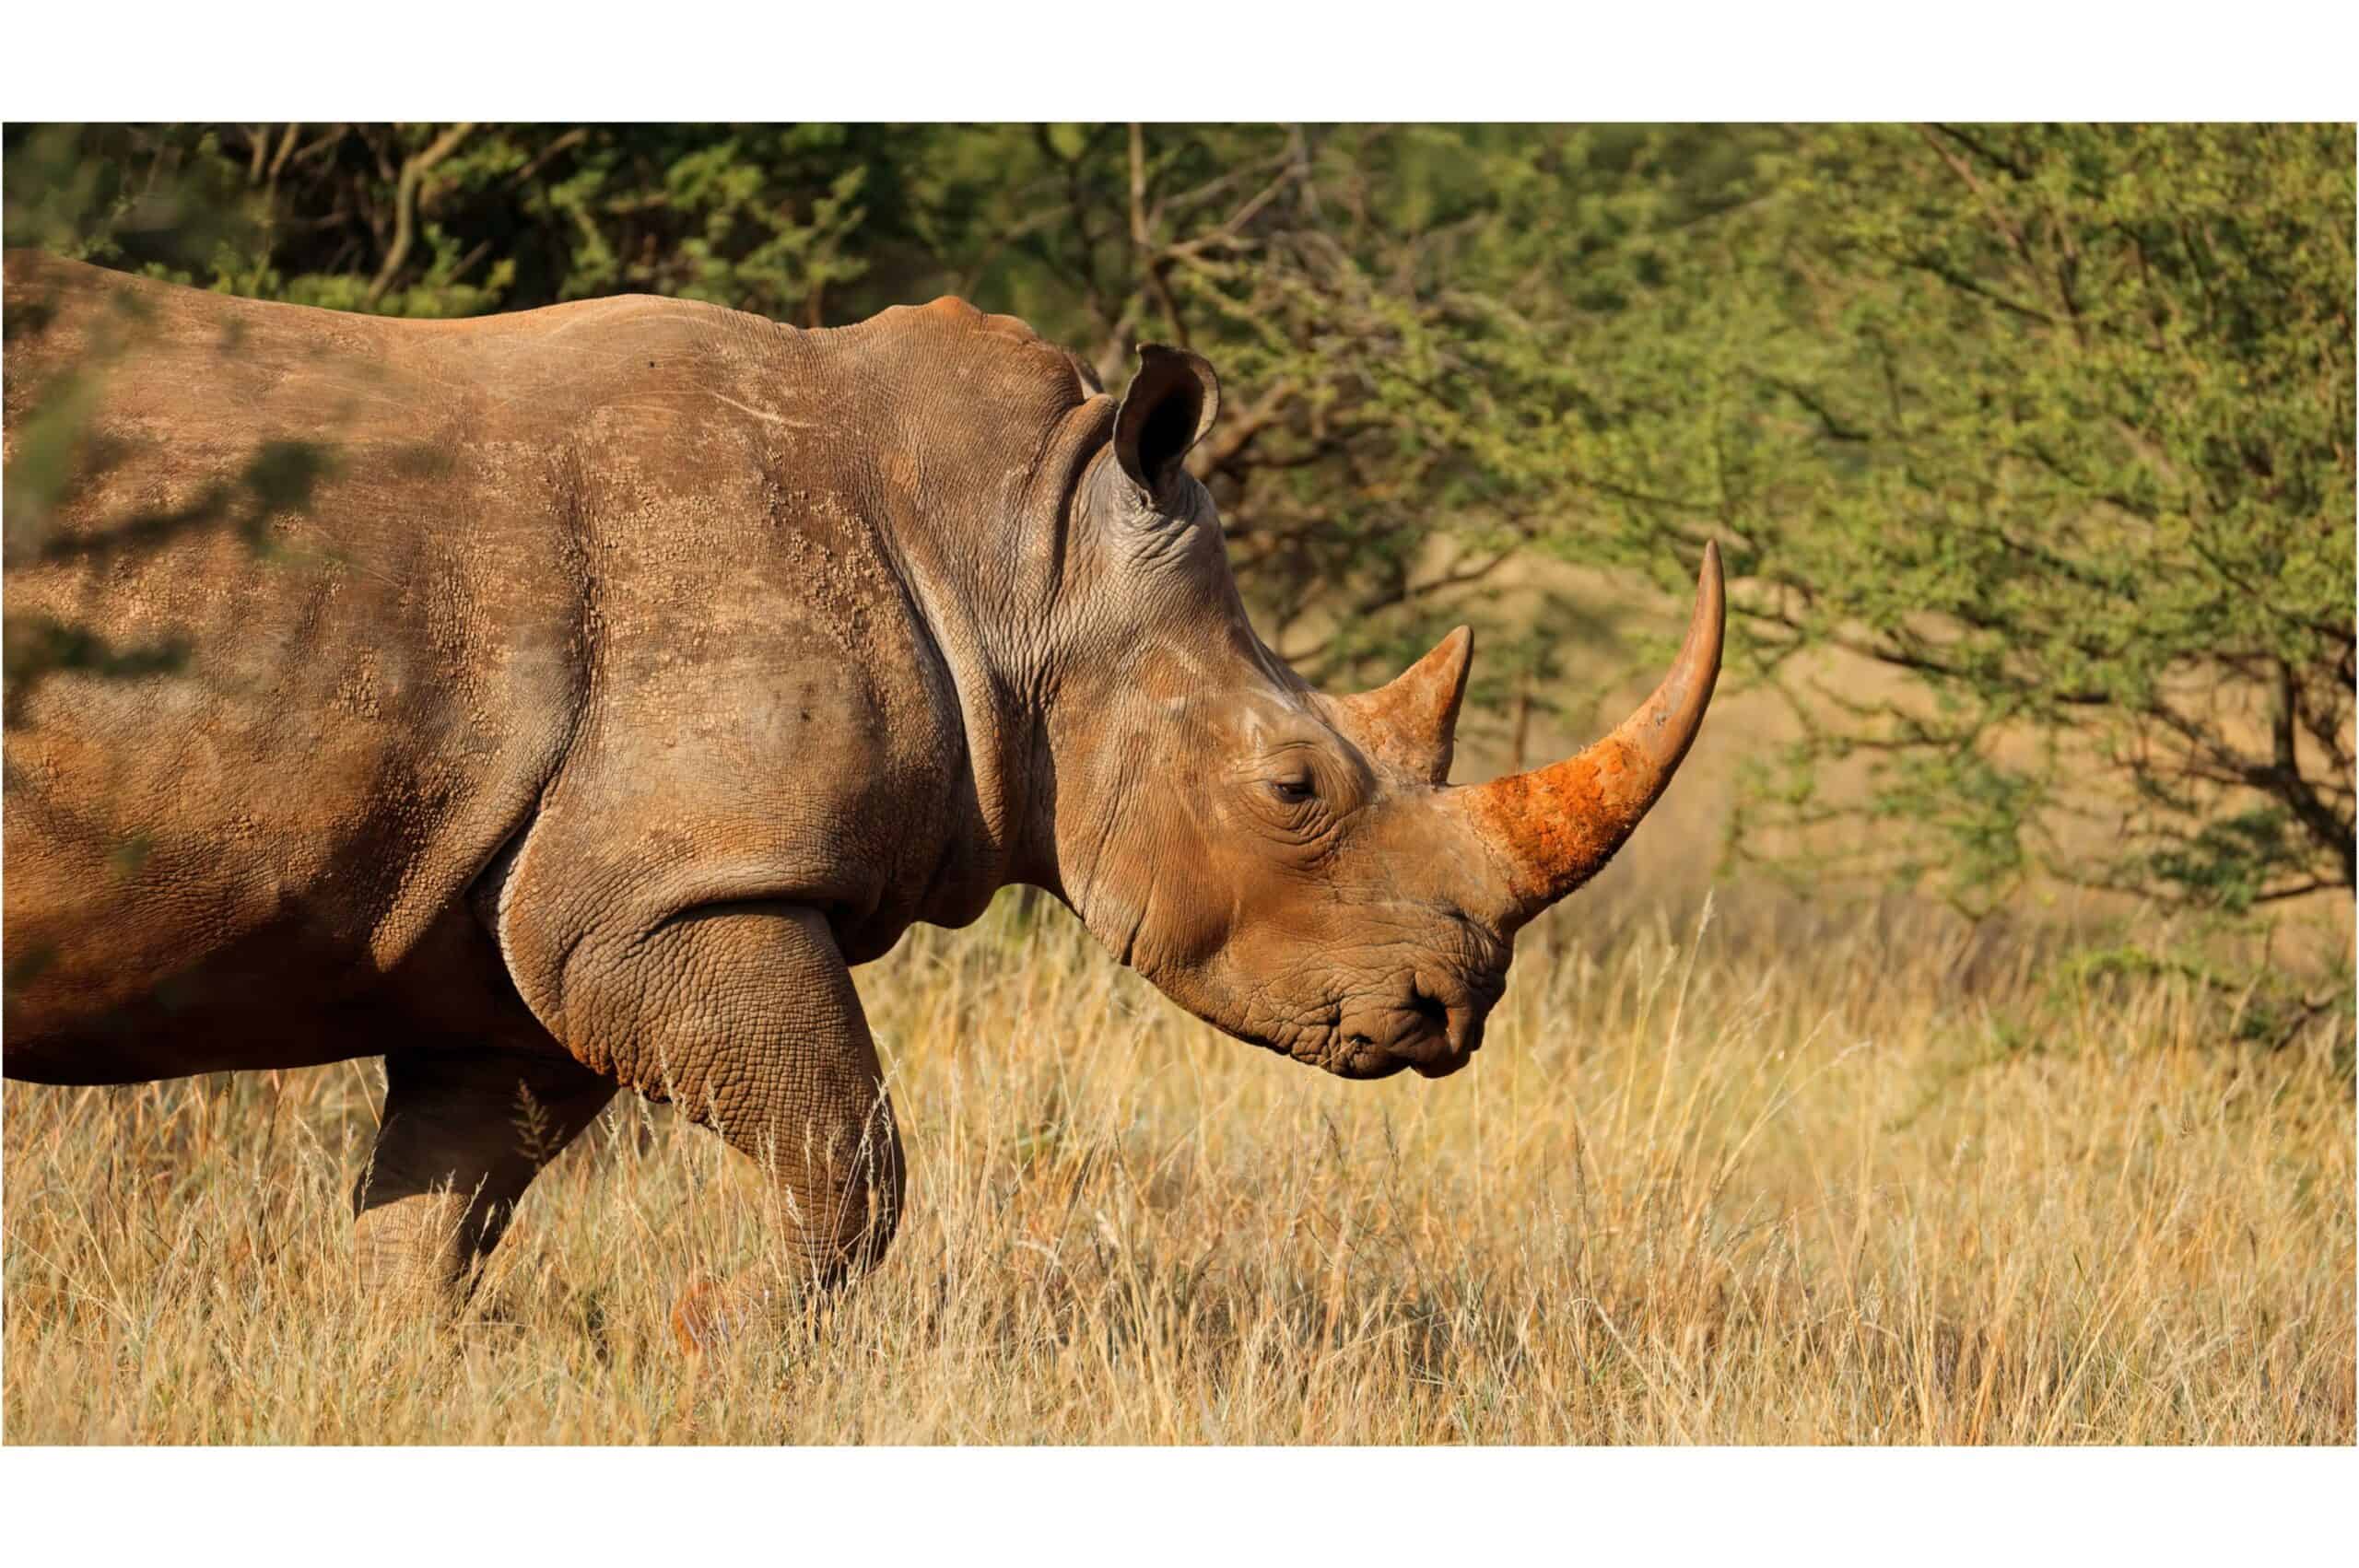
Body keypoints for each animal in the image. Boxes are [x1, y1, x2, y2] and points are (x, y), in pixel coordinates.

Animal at [2, 251, 1721, 1336]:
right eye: (1295, 785)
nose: (1449, 1010)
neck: (1011, 550)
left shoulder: (516, 942)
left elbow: (438, 1212)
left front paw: (390, 1364)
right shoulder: (666, 892)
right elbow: (850, 1154)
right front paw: (719, 1339)